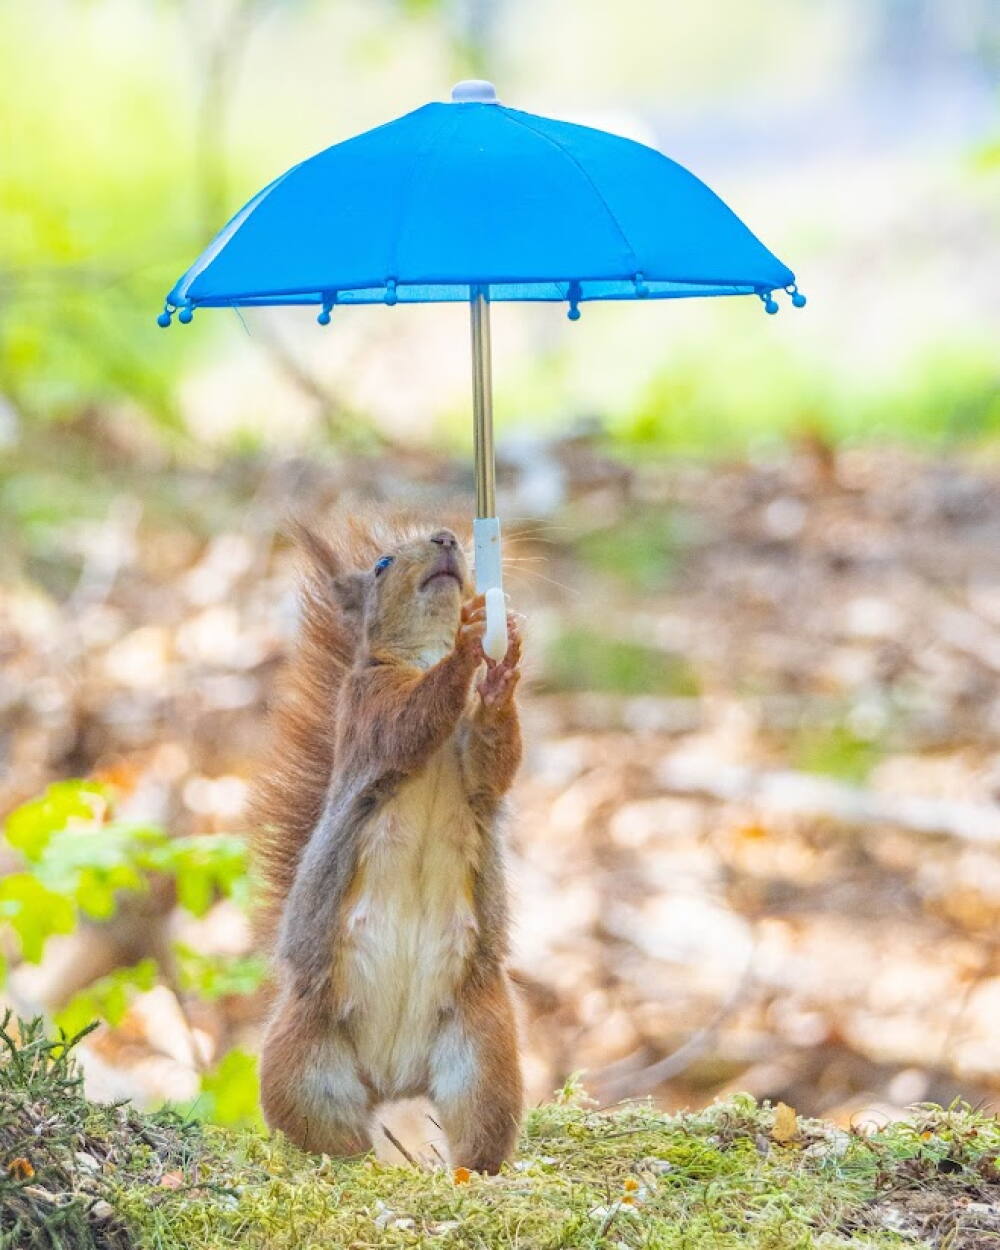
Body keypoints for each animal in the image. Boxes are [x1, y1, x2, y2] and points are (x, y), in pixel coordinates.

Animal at [250, 517, 524, 1173]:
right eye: (381, 563)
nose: (448, 538)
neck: (421, 653)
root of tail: (394, 1078)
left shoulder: (475, 765)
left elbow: (495, 761)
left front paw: (500, 672)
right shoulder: (366, 707)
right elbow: (407, 722)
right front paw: (468, 646)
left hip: (483, 1049)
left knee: (479, 1126)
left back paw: (472, 1173)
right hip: (305, 1060)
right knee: (327, 1133)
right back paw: (347, 1165)